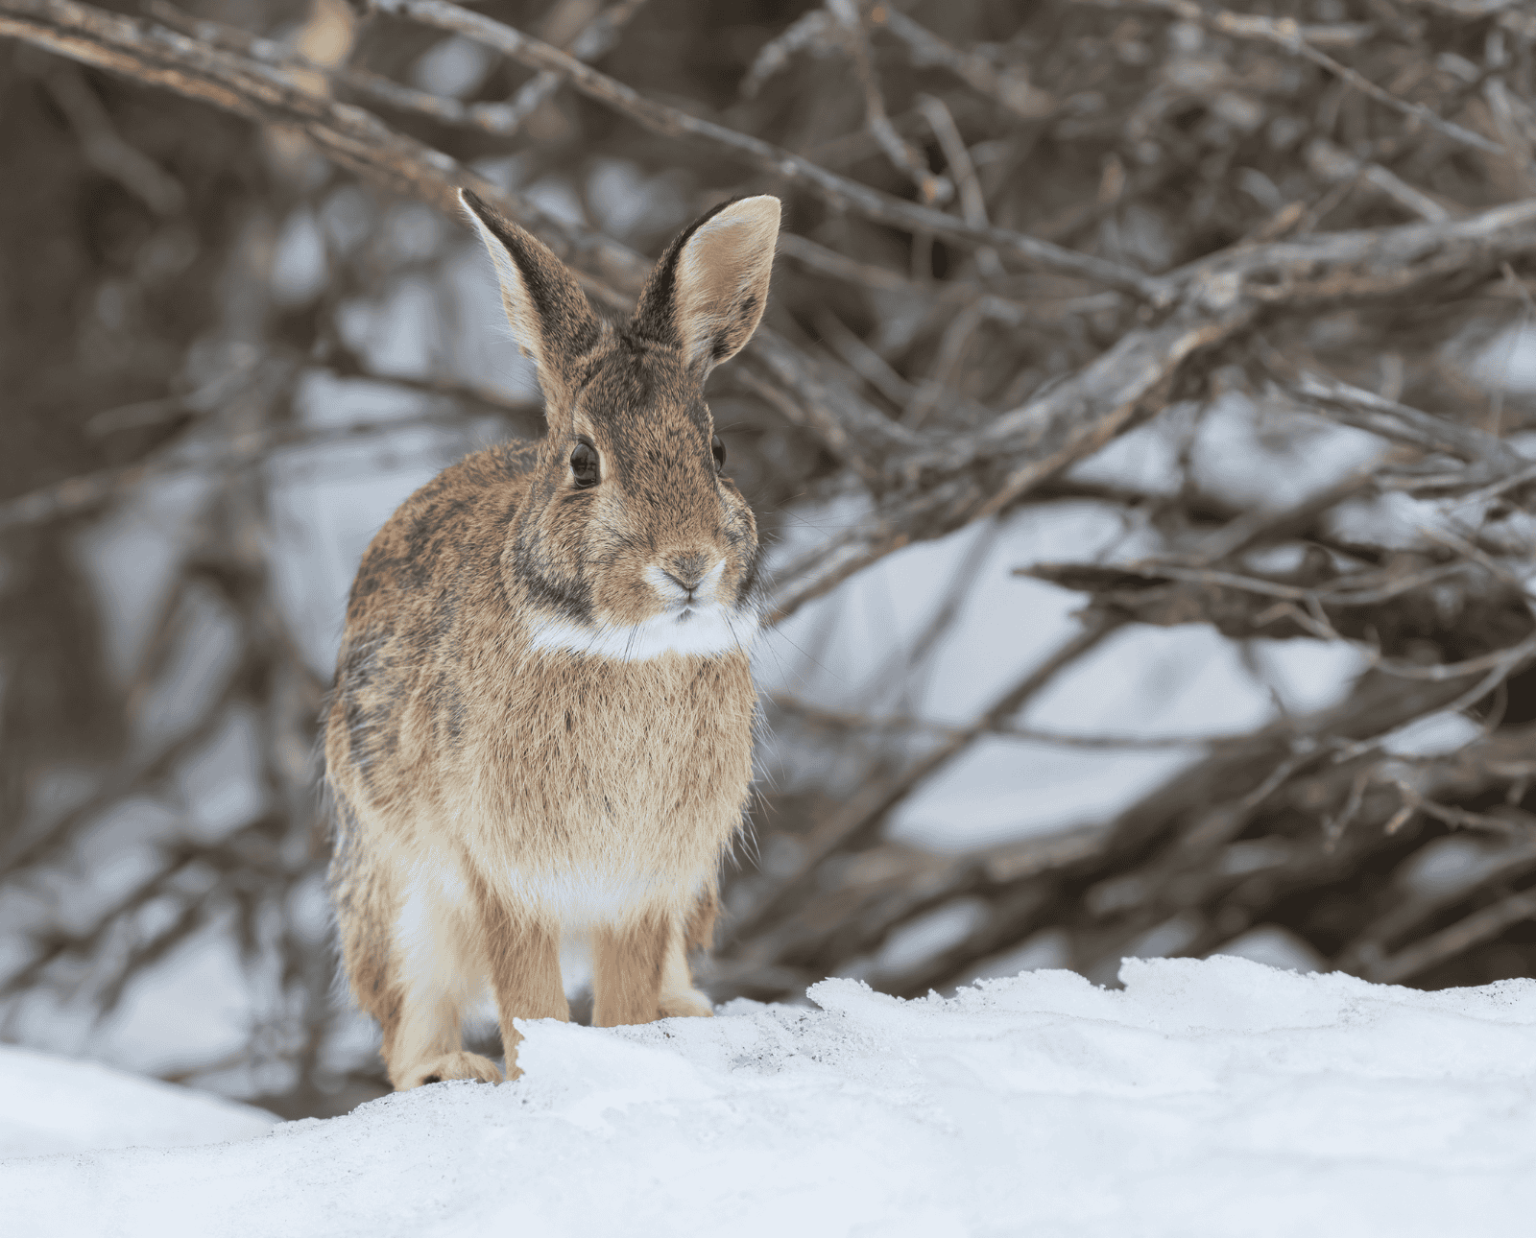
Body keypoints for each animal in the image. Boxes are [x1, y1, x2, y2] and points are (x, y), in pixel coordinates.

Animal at [324, 188, 779, 1090]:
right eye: (582, 462)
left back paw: (686, 1015)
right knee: (405, 1015)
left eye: (716, 452)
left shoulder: (649, 886)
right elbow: (529, 999)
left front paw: (631, 1048)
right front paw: (544, 1078)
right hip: (402, 901)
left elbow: (623, 993)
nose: (688, 565)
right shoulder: (503, 875)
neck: (624, 648)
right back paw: (449, 1071)